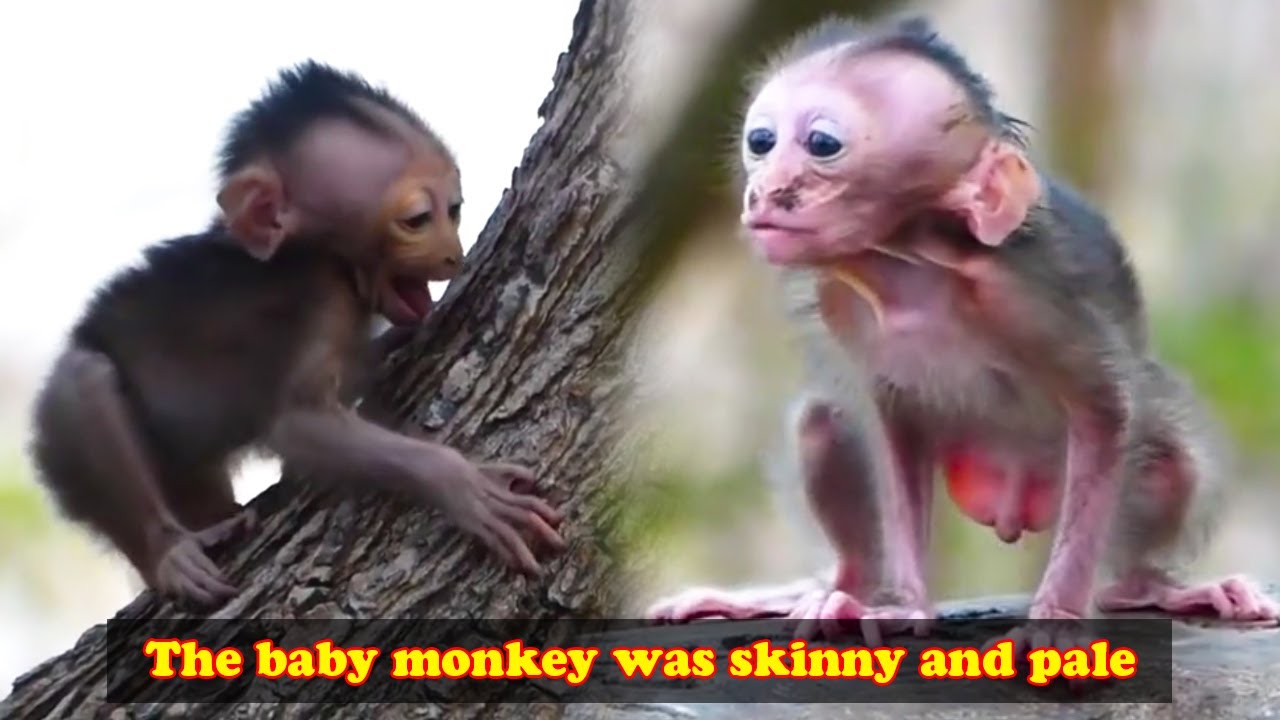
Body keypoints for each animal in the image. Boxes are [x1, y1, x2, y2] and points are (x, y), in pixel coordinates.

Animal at [28, 61, 565, 608]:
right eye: (418, 219)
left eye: (454, 209)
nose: (453, 255)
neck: (323, 256)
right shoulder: (325, 298)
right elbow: (297, 425)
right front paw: (461, 485)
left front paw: (396, 343)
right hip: (60, 441)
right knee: (84, 379)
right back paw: (167, 553)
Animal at [645, 17, 1278, 645]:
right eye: (761, 141)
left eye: (822, 143)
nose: (762, 190)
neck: (910, 274)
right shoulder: (845, 305)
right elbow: (894, 433)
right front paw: (902, 605)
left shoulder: (1023, 301)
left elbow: (1104, 411)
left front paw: (1057, 620)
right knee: (823, 425)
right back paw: (833, 588)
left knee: (1170, 464)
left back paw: (1151, 587)